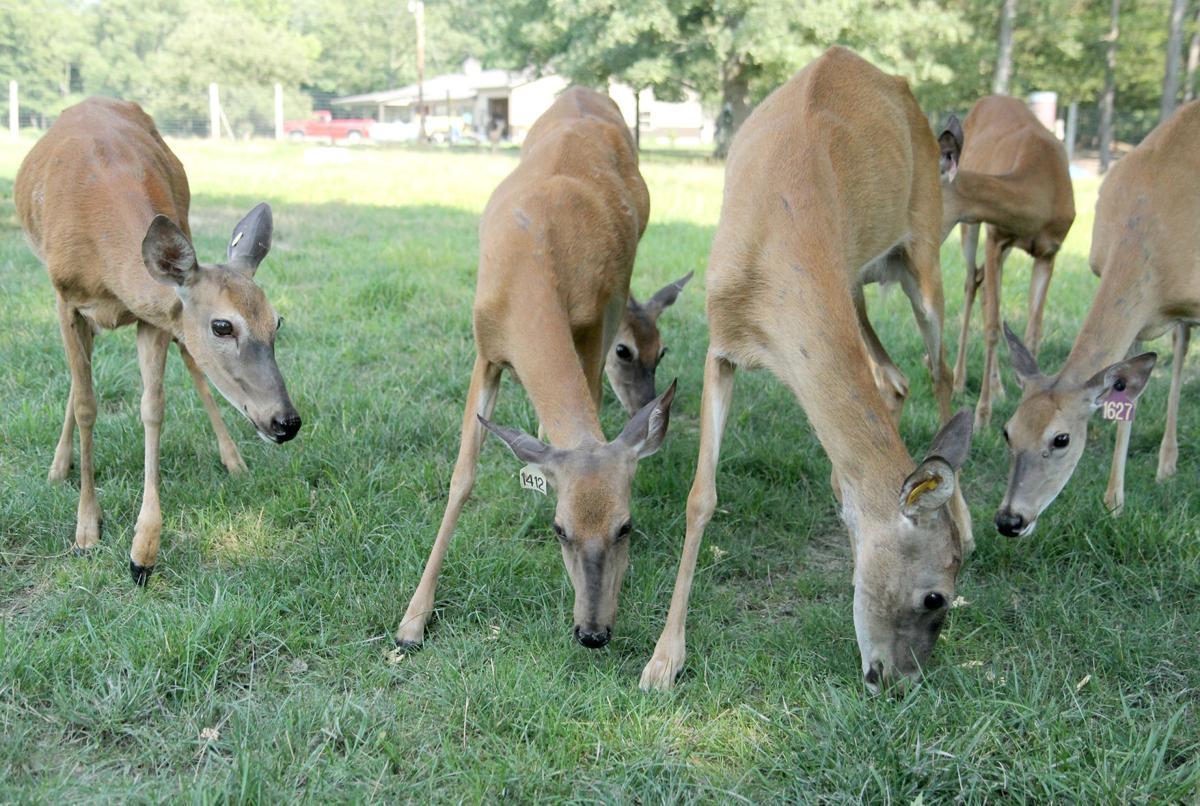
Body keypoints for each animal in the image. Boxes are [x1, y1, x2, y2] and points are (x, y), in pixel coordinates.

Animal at [14, 97, 301, 585]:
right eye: (222, 326)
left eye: (276, 322)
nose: (286, 421)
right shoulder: (66, 298)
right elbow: (88, 404)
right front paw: (87, 528)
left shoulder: (155, 317)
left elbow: (153, 408)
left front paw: (143, 550)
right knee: (80, 378)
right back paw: (57, 467)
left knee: (186, 360)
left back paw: (233, 460)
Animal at [395, 86, 676, 652]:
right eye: (559, 529)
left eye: (626, 527)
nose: (593, 633)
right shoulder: (485, 347)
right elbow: (462, 476)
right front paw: (413, 618)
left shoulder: (593, 326)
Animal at [638, 47, 974, 693]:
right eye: (935, 598)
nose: (900, 681)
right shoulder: (722, 343)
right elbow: (701, 496)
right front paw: (663, 660)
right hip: (860, 285)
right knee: (896, 377)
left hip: (922, 248)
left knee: (938, 369)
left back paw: (967, 517)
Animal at [938, 95, 1076, 431]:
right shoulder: (994, 236)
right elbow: (990, 327)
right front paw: (981, 416)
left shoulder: (1049, 253)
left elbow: (1033, 331)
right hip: (971, 228)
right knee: (971, 284)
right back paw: (960, 381)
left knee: (983, 286)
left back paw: (1000, 387)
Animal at [995, 99, 1200, 537]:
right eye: (1007, 431)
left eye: (1062, 439)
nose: (1009, 520)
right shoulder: (1139, 316)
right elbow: (1127, 400)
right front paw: (1114, 503)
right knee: (1181, 342)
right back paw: (1166, 463)